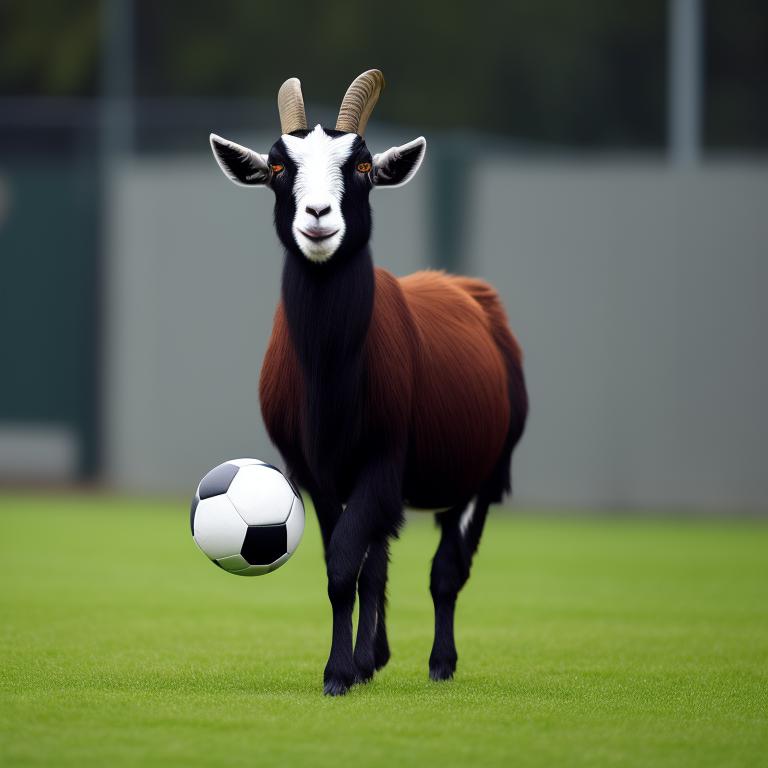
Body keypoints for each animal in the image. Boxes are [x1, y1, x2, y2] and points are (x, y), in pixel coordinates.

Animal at [210, 70, 528, 696]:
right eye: (278, 167)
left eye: (361, 166)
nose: (318, 216)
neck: (331, 377)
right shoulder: (319, 473)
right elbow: (347, 568)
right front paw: (351, 667)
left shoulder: (382, 460)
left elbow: (346, 565)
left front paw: (337, 674)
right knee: (378, 563)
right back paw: (374, 658)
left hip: (481, 476)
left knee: (446, 571)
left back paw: (440, 663)